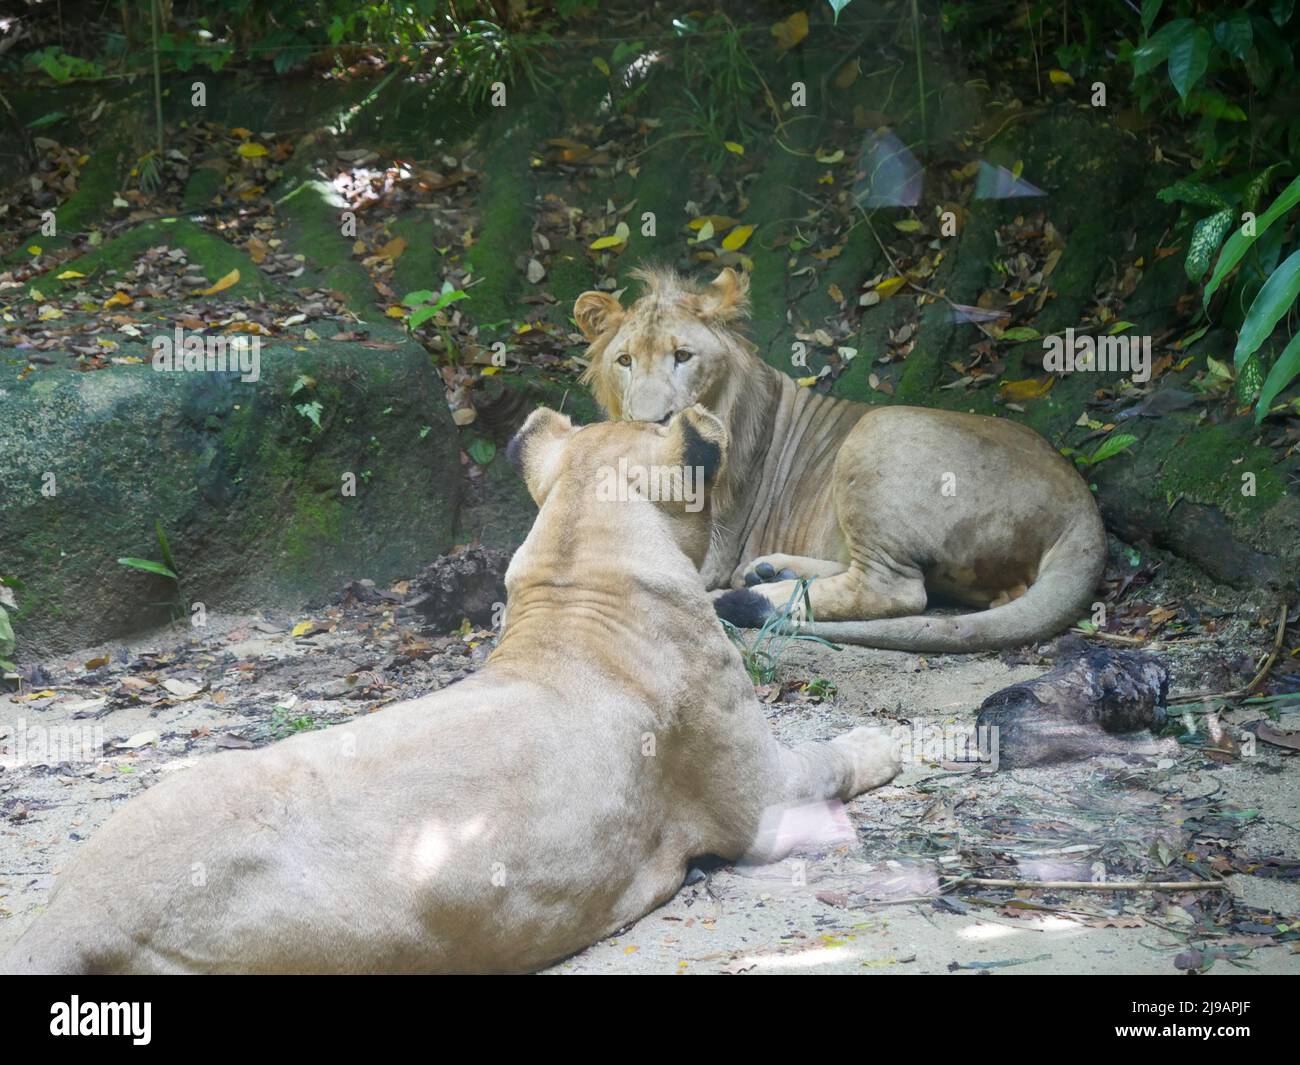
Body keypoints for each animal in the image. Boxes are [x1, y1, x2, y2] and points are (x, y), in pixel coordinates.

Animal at [575, 267, 1107, 654]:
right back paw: (769, 571)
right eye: (624, 361)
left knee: (896, 590)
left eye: (683, 356)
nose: (649, 421)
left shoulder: (708, 550)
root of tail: (1085, 508)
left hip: (877, 429)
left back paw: (746, 596)